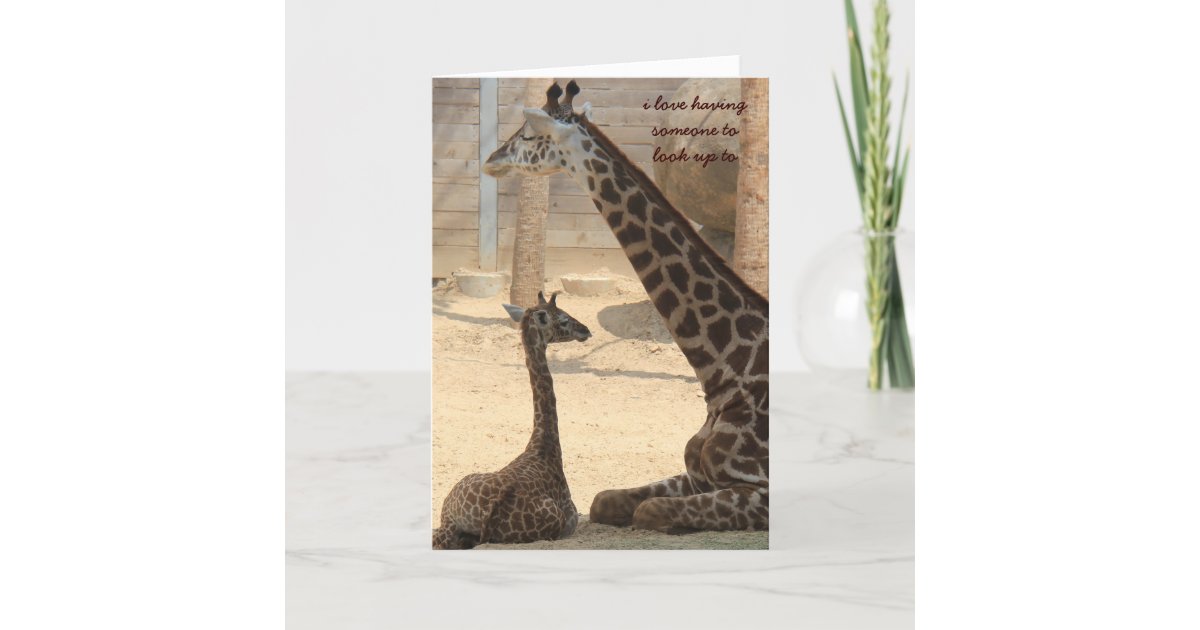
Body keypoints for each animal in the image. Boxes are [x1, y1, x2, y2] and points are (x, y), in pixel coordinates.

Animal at [482, 81, 769, 534]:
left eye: (528, 135)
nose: (490, 161)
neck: (729, 373)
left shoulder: (761, 489)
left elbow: (648, 511)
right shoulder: (695, 475)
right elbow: (605, 500)